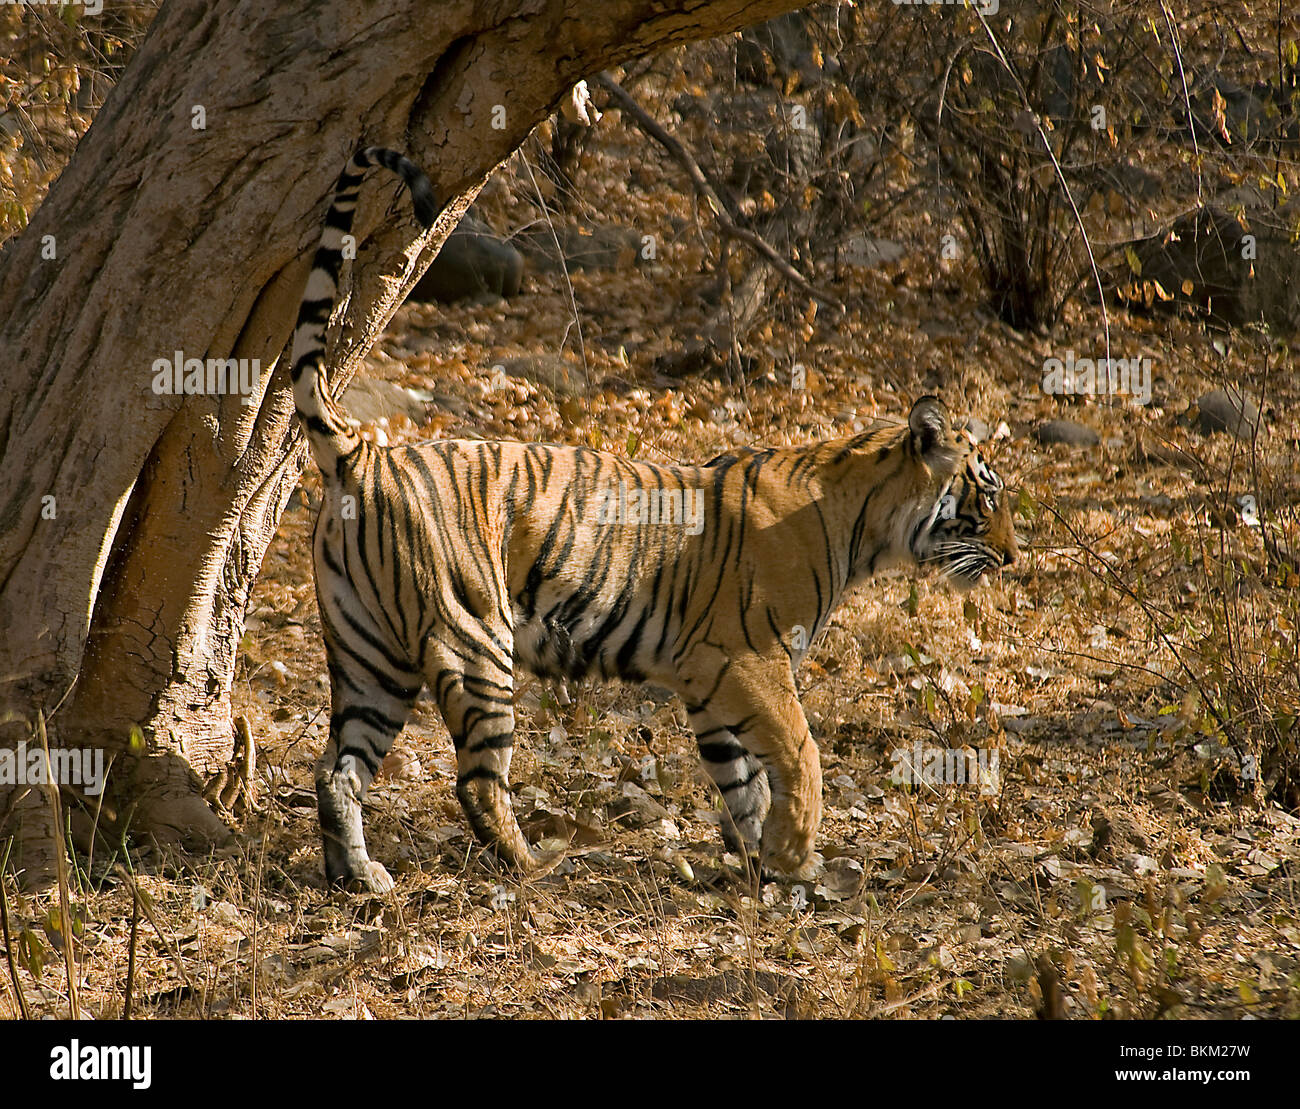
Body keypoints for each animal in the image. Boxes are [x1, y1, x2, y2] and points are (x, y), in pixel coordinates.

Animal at [290, 147, 1018, 893]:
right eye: (987, 498)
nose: (1014, 555)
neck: (863, 524)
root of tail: (362, 451)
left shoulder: (708, 676)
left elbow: (744, 780)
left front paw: (759, 865)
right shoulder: (752, 658)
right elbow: (801, 753)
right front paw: (795, 855)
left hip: (370, 655)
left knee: (337, 770)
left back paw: (356, 874)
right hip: (475, 638)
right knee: (477, 781)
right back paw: (533, 863)